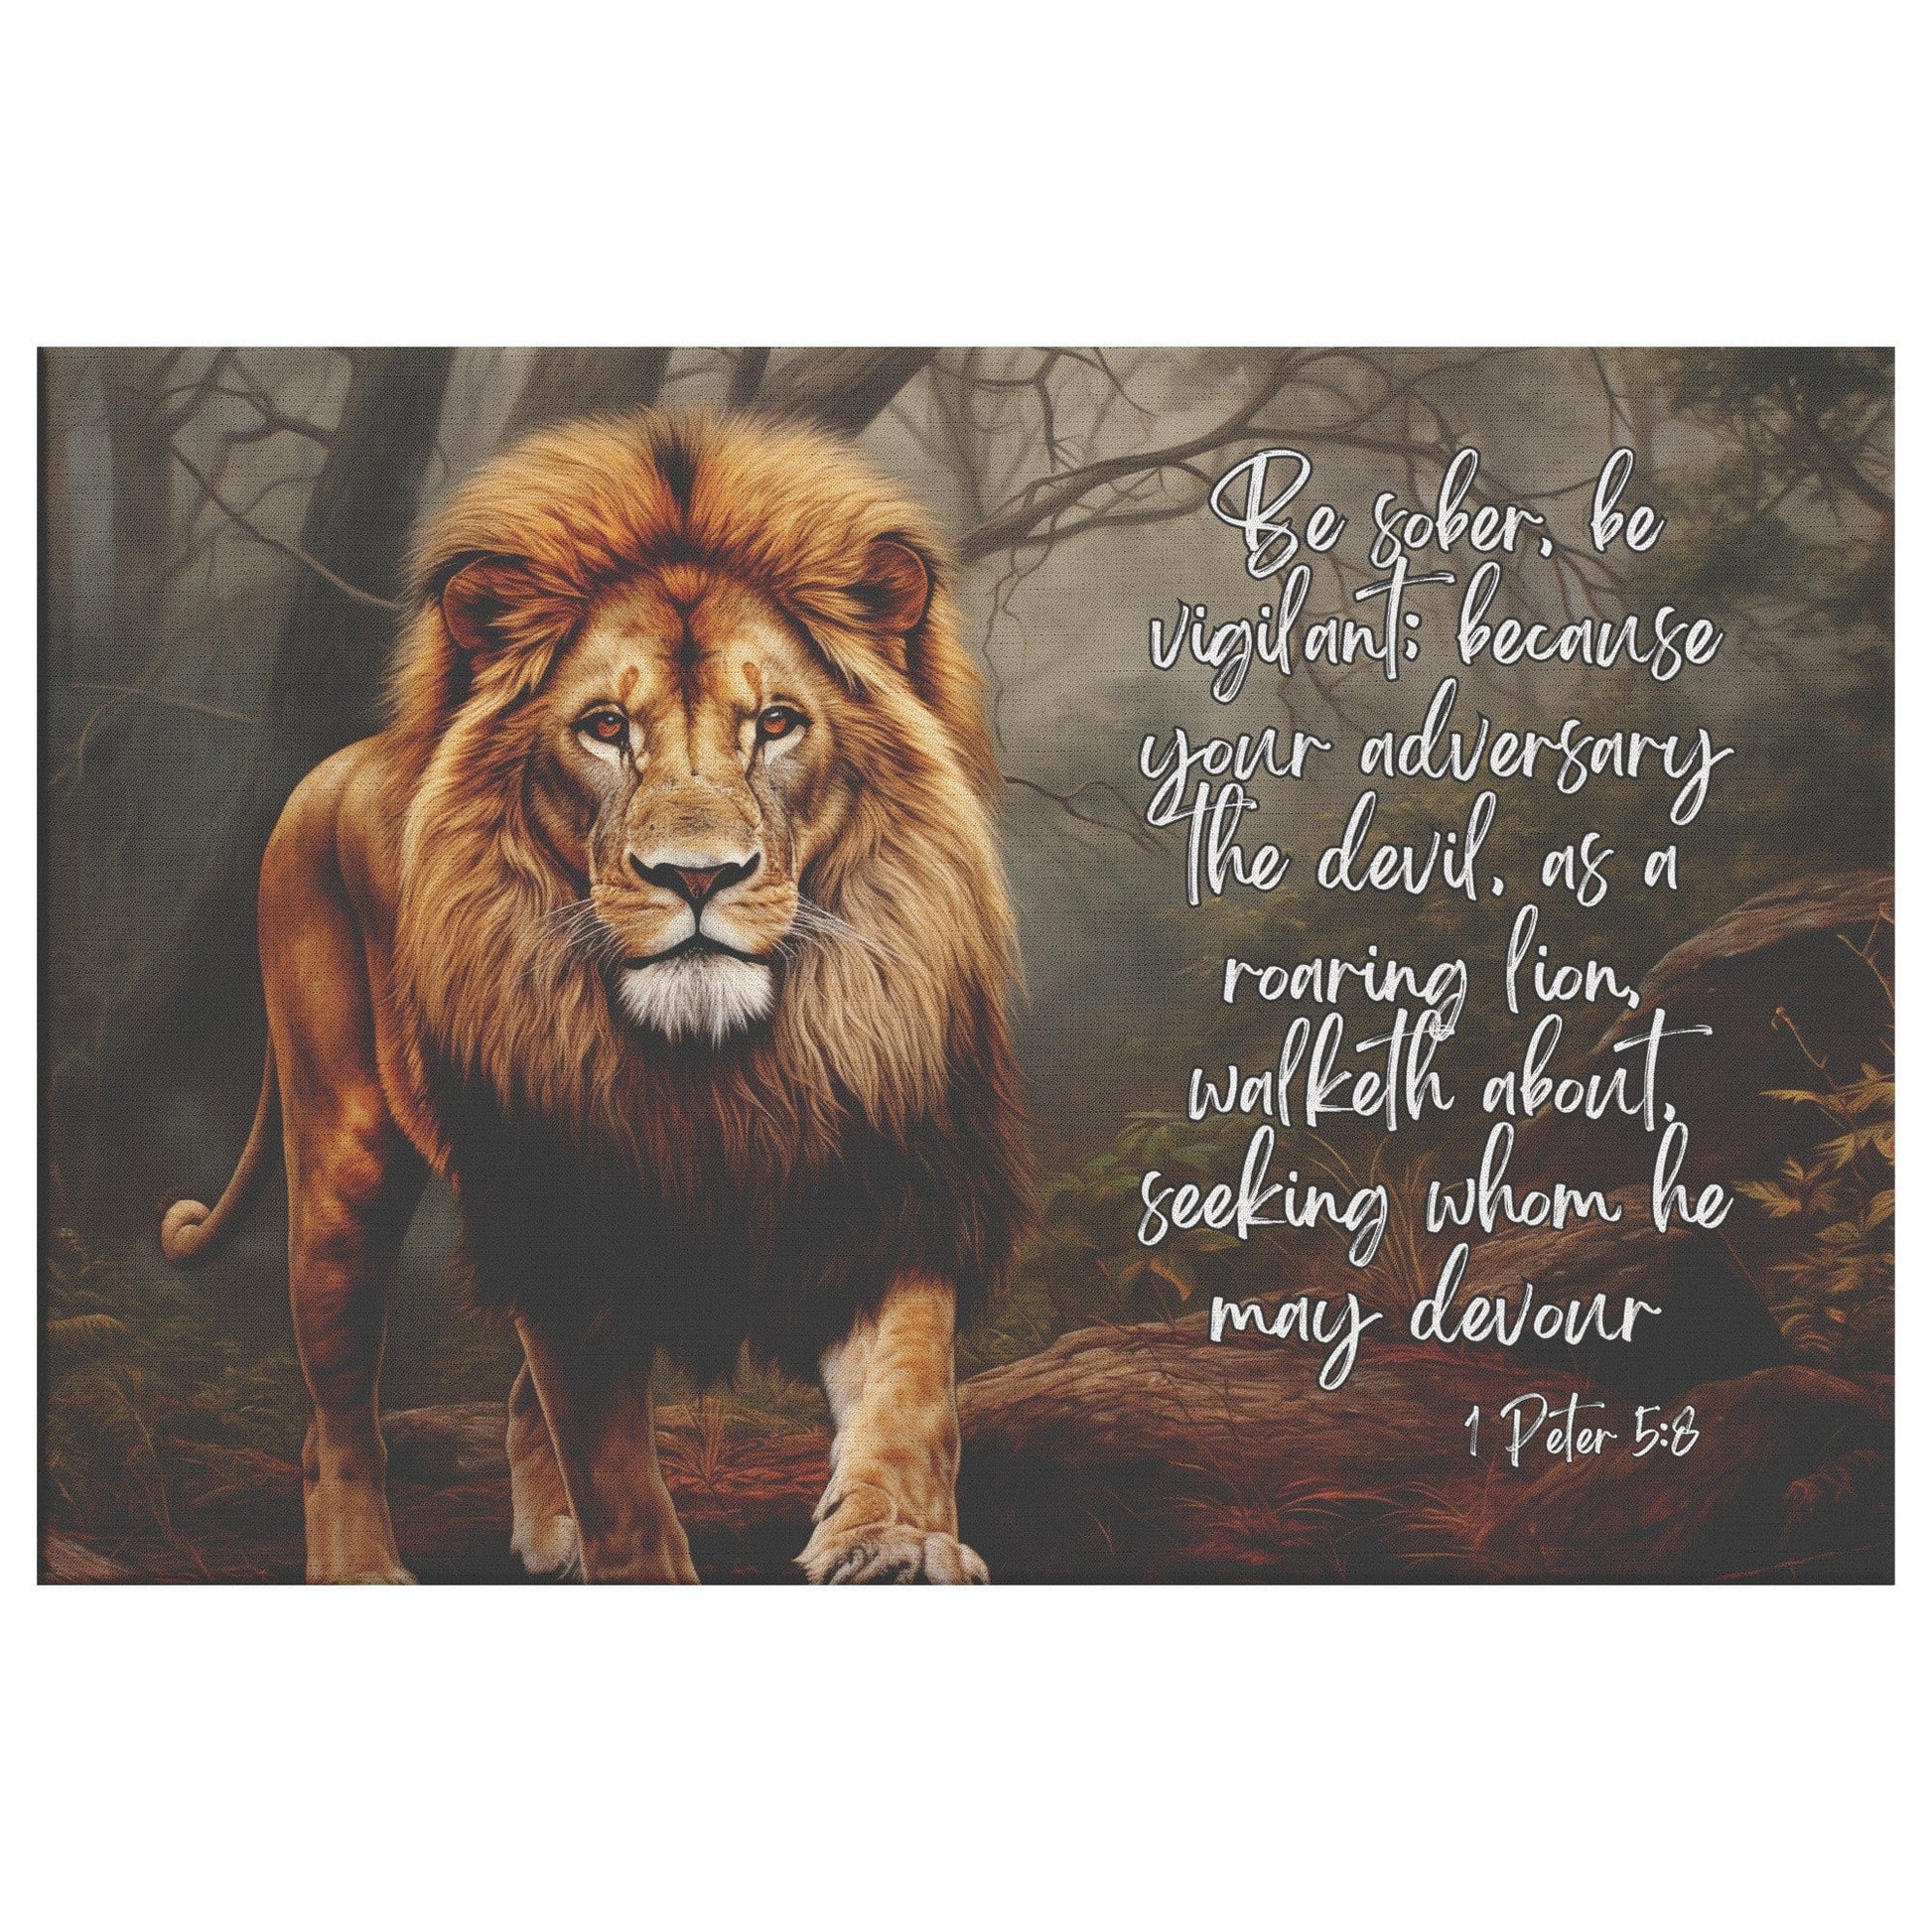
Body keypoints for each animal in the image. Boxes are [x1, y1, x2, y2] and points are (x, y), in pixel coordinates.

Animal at [160, 409, 1032, 1584]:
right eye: (607, 727)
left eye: (778, 723)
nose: (697, 877)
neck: (717, 1063)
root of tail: (333, 767)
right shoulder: (561, 1217)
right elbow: (615, 1472)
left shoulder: (882, 1175)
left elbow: (911, 1390)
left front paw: (893, 1543)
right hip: (342, 1158)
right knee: (334, 1414)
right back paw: (362, 1568)